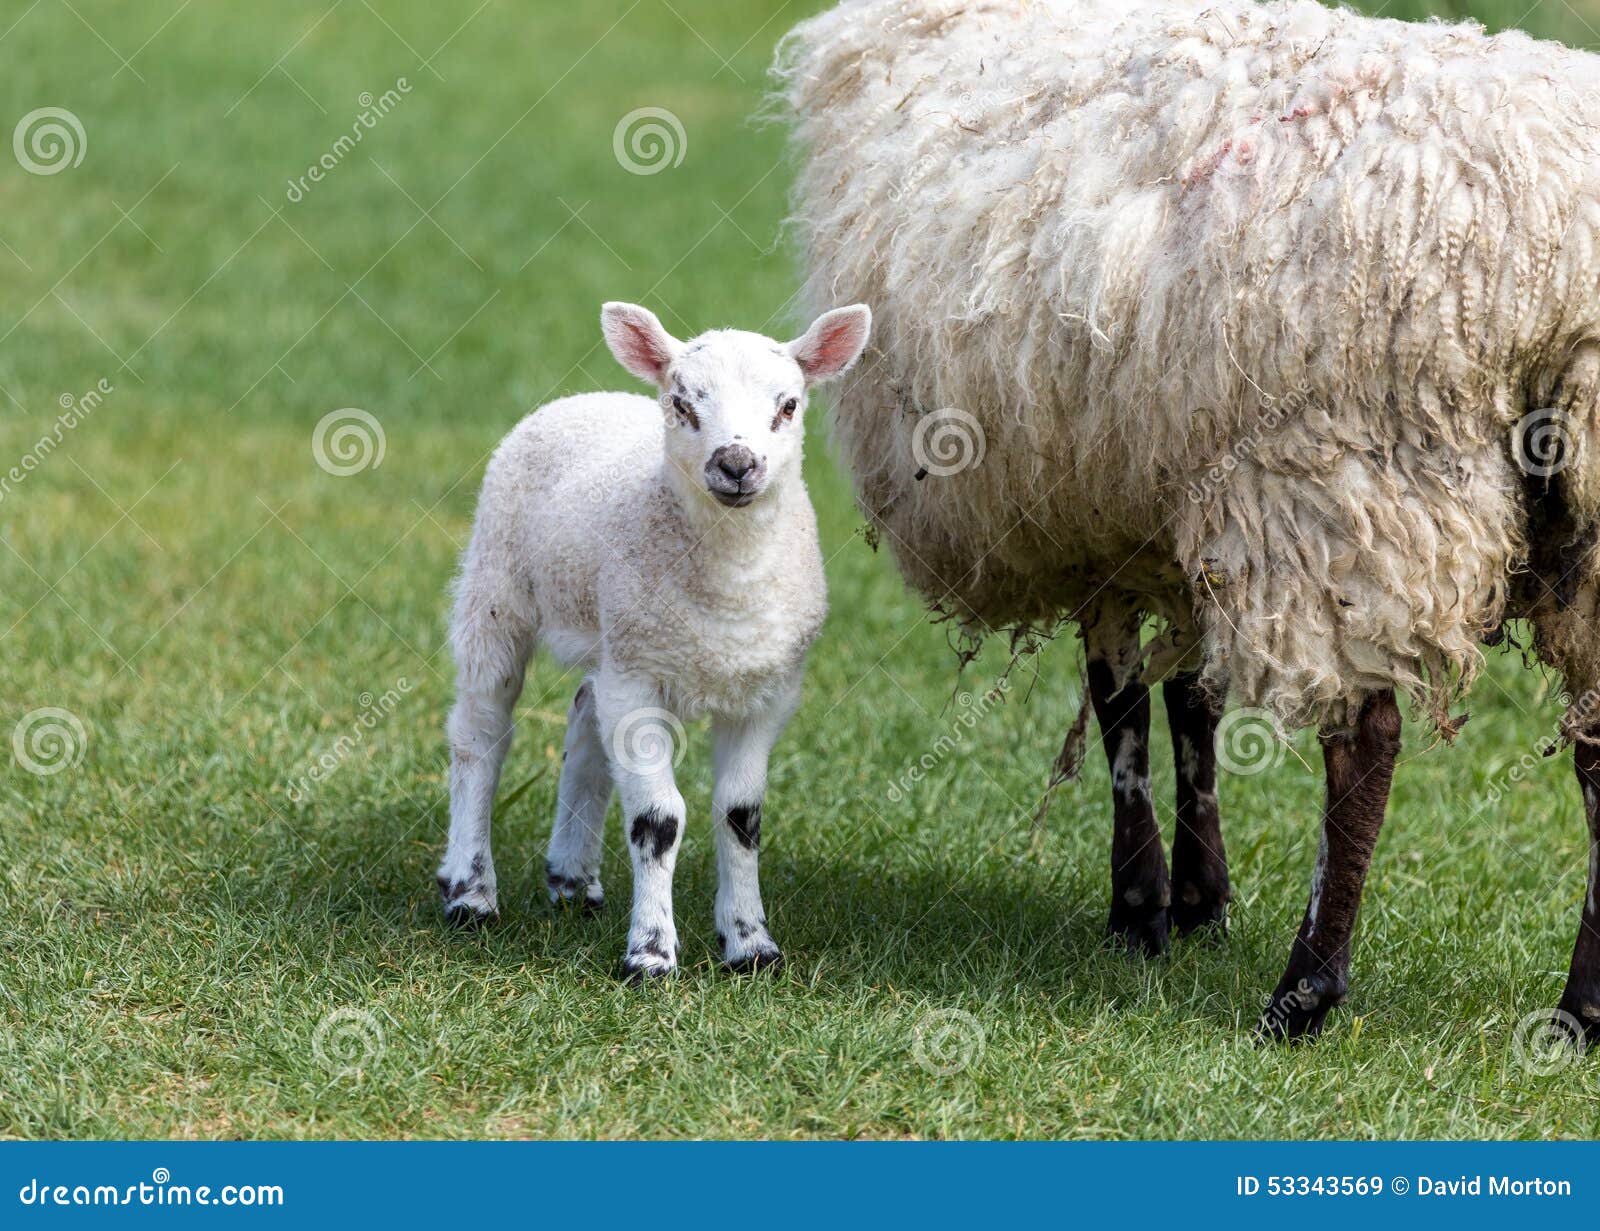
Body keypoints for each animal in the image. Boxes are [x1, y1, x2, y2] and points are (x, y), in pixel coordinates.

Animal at [436, 300, 872, 978]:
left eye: (789, 405)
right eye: (681, 403)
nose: (736, 465)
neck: (729, 589)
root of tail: (588, 397)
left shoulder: (764, 691)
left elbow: (740, 816)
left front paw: (751, 945)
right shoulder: (640, 682)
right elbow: (658, 819)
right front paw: (650, 955)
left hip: (613, 633)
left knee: (585, 716)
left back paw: (572, 877)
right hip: (499, 588)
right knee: (479, 734)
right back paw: (470, 892)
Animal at [776, 0, 1600, 1040]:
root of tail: (1561, 253)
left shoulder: (1093, 531)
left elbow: (1120, 702)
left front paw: (1141, 906)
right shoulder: (1158, 515)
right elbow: (1188, 700)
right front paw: (1201, 894)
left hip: (1349, 488)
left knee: (1362, 745)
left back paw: (1305, 990)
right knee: (1599, 751)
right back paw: (1581, 1011)